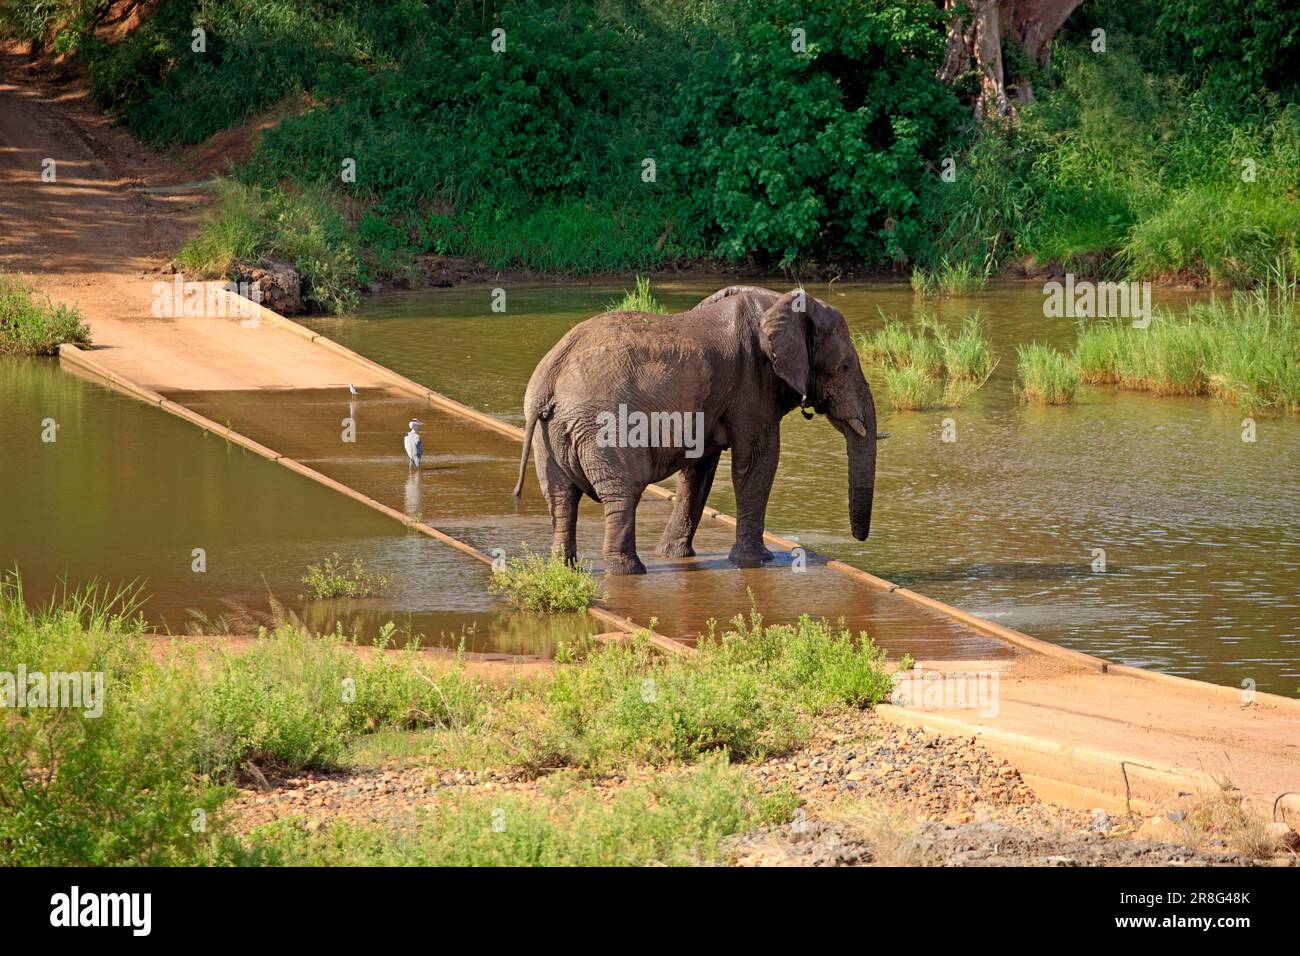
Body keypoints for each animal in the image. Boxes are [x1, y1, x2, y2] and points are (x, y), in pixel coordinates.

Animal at [512, 285, 878, 575]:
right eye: (845, 366)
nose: (859, 540)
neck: (779, 302)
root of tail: (548, 379)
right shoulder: (752, 383)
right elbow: (757, 460)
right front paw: (757, 561)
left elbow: (699, 469)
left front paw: (675, 555)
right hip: (602, 426)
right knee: (622, 493)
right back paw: (629, 571)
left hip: (549, 434)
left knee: (561, 497)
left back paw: (566, 568)